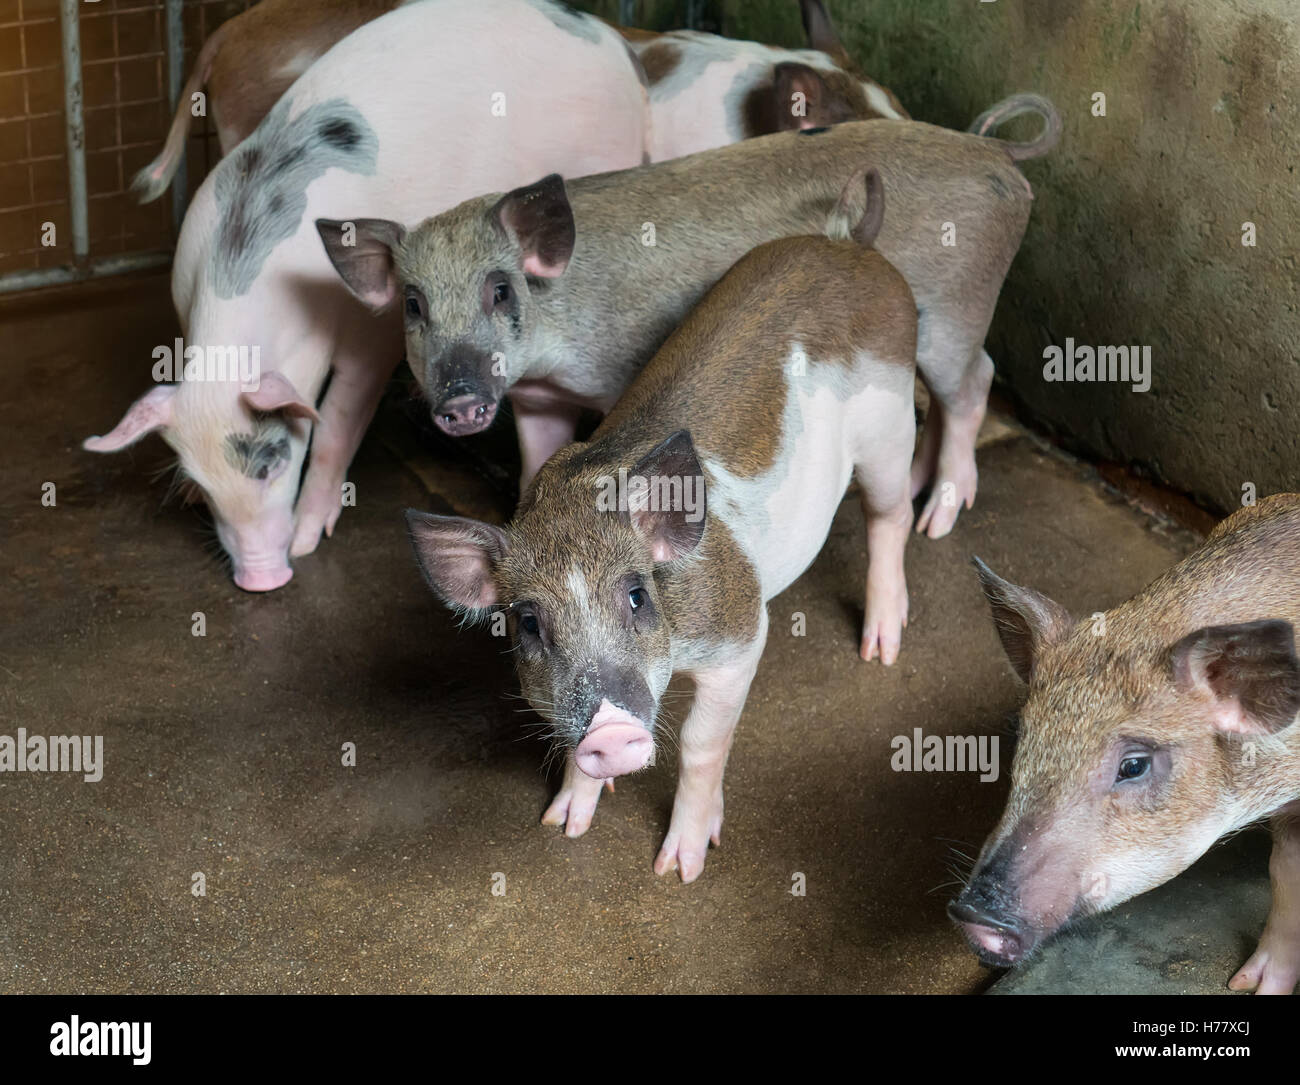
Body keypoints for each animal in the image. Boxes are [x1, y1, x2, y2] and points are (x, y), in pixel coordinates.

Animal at [320, 98, 1060, 537]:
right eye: (413, 304)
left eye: (500, 290)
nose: (459, 399)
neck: (552, 355)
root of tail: (998, 154)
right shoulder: (535, 399)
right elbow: (533, 460)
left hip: (958, 307)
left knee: (974, 383)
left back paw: (937, 519)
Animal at [405, 166, 917, 882]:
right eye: (529, 623)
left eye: (637, 595)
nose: (611, 730)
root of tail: (850, 242)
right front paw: (563, 825)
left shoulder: (739, 630)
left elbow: (702, 741)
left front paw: (679, 869)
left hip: (892, 421)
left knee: (890, 514)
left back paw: (881, 645)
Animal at [951, 493, 1300, 994]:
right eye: (1023, 738)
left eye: (1133, 766)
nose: (971, 915)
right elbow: (1284, 872)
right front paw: (1245, 985)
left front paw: (1248, 987)